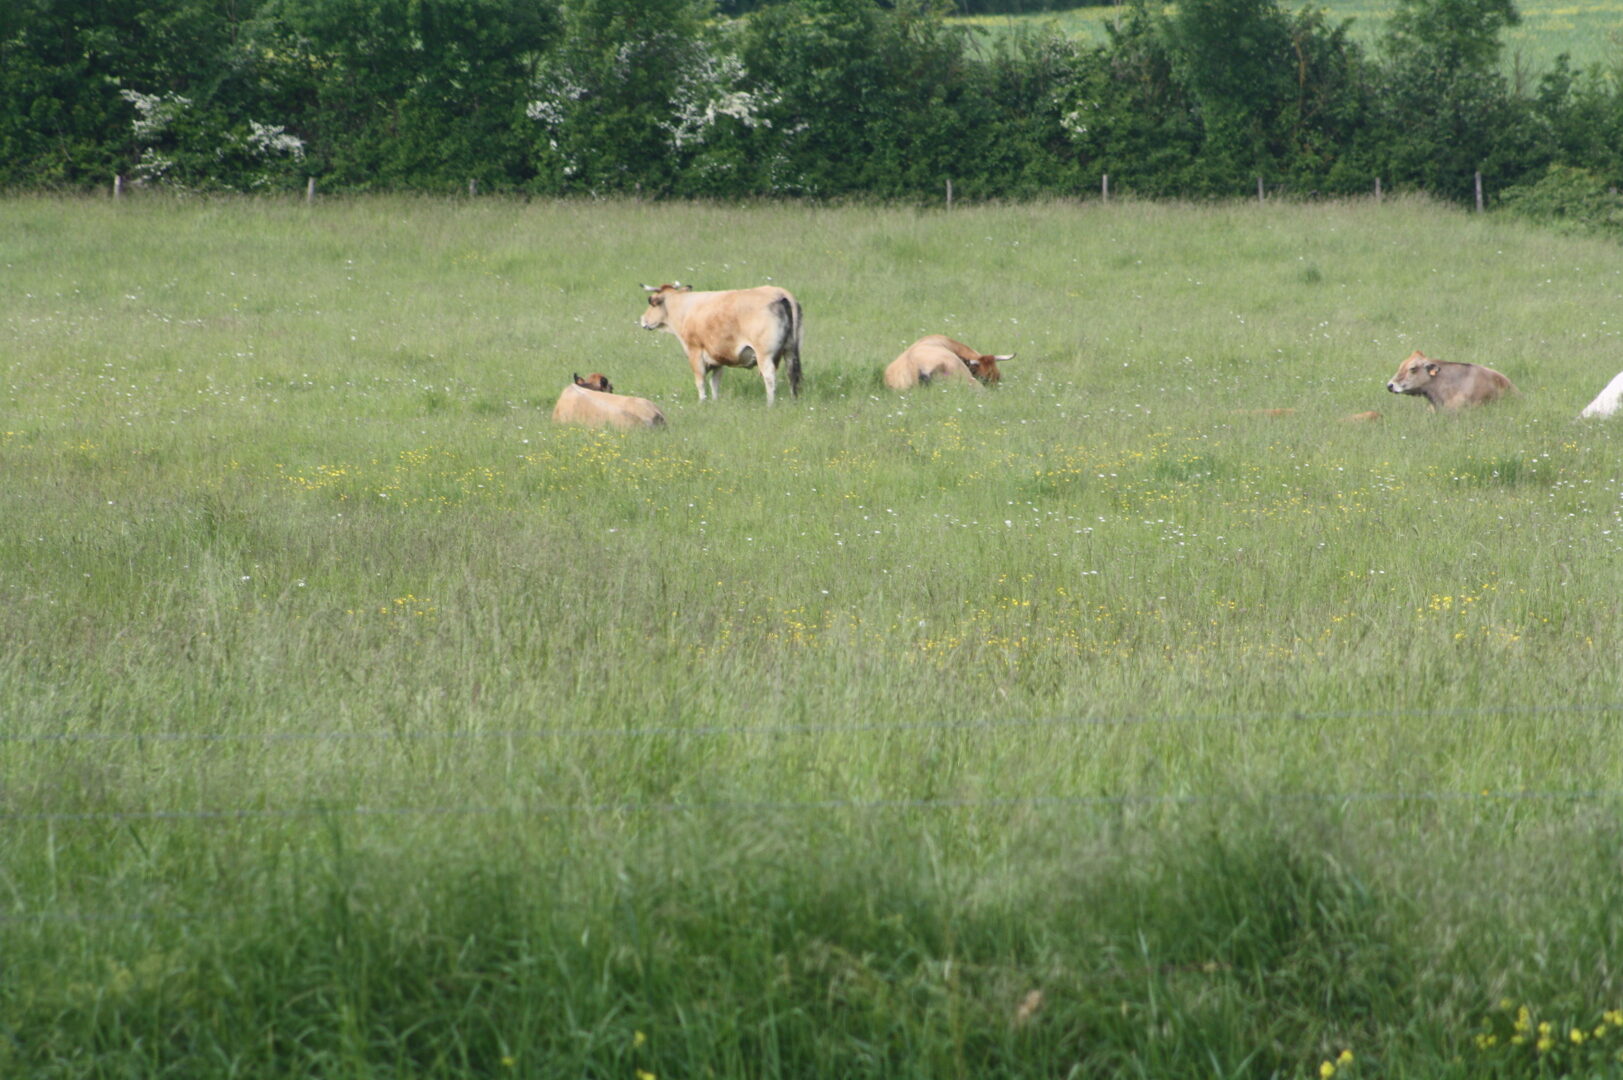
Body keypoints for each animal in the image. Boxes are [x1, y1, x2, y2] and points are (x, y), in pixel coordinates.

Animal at [639, 282, 805, 404]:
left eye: (651, 302)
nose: (643, 319)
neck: (685, 308)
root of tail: (780, 293)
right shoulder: (717, 357)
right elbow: (715, 382)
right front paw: (715, 401)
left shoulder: (695, 353)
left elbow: (700, 381)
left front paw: (702, 402)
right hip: (790, 350)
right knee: (791, 373)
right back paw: (793, 400)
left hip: (764, 354)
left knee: (769, 376)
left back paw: (770, 404)